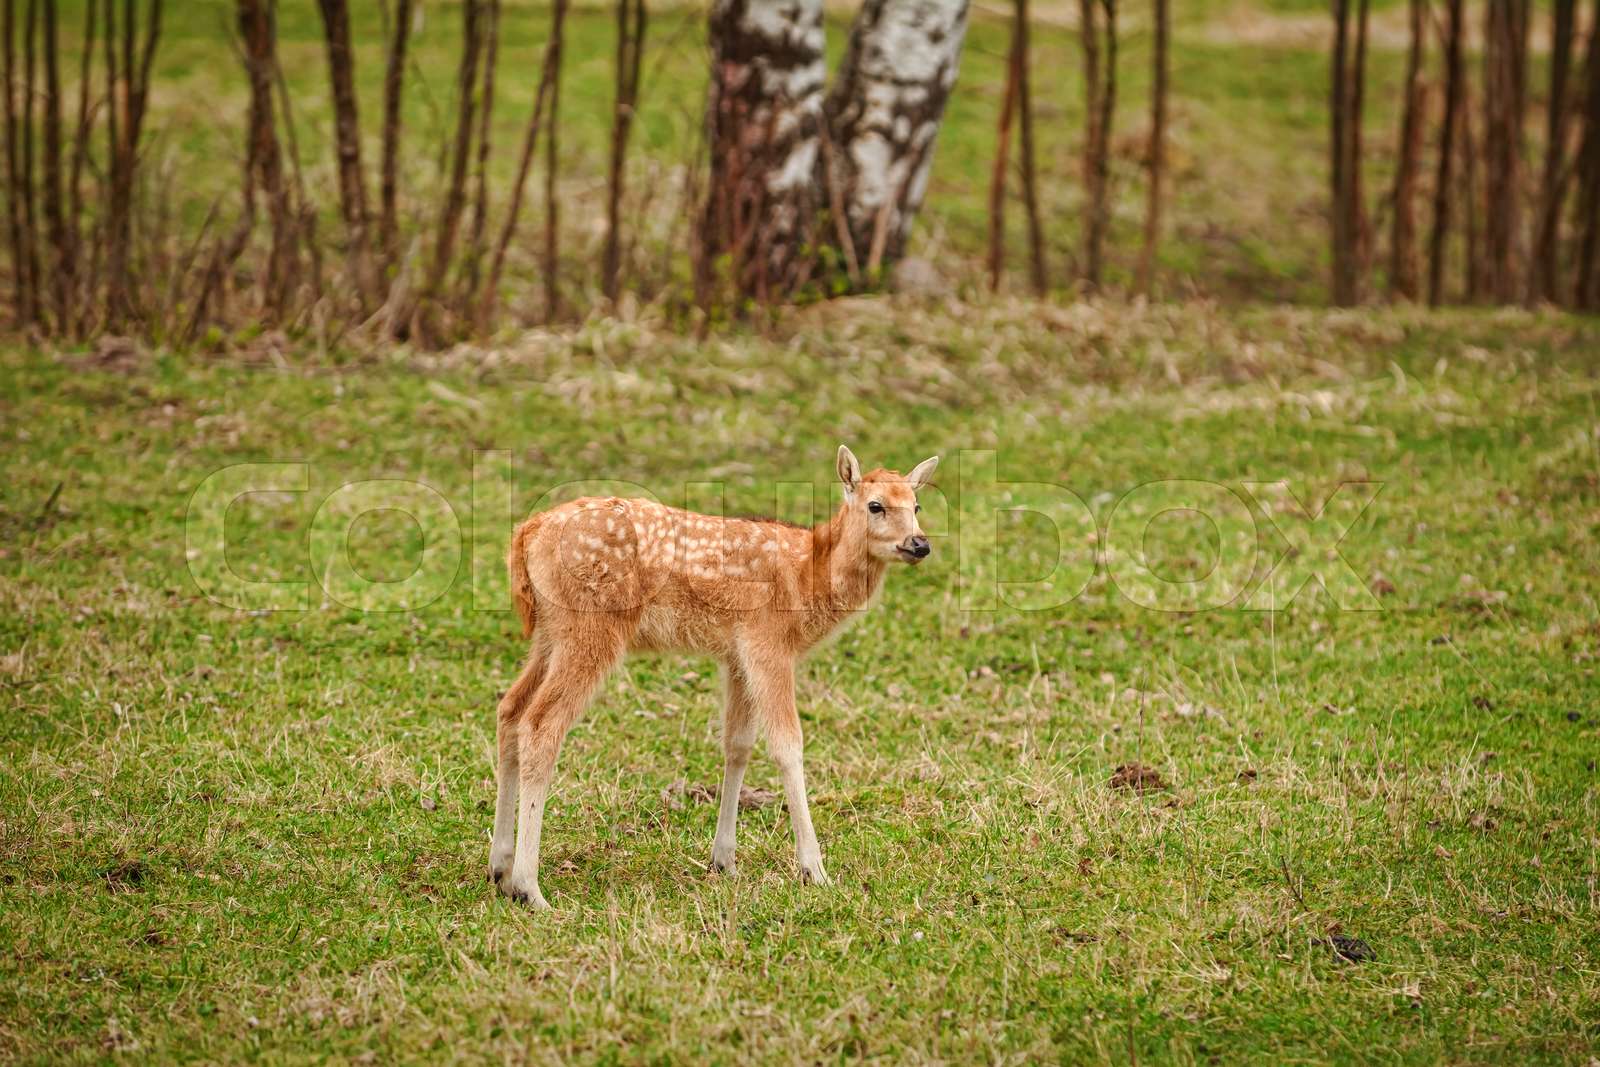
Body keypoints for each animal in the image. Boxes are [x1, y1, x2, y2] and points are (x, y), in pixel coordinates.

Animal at [489, 446, 939, 909]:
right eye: (875, 505)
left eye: (917, 505)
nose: (920, 544)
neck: (809, 576)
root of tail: (527, 533)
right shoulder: (768, 642)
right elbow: (787, 746)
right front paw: (814, 870)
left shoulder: (735, 655)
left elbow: (737, 745)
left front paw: (724, 861)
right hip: (591, 626)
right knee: (541, 723)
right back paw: (530, 888)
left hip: (549, 632)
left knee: (510, 709)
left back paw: (500, 870)